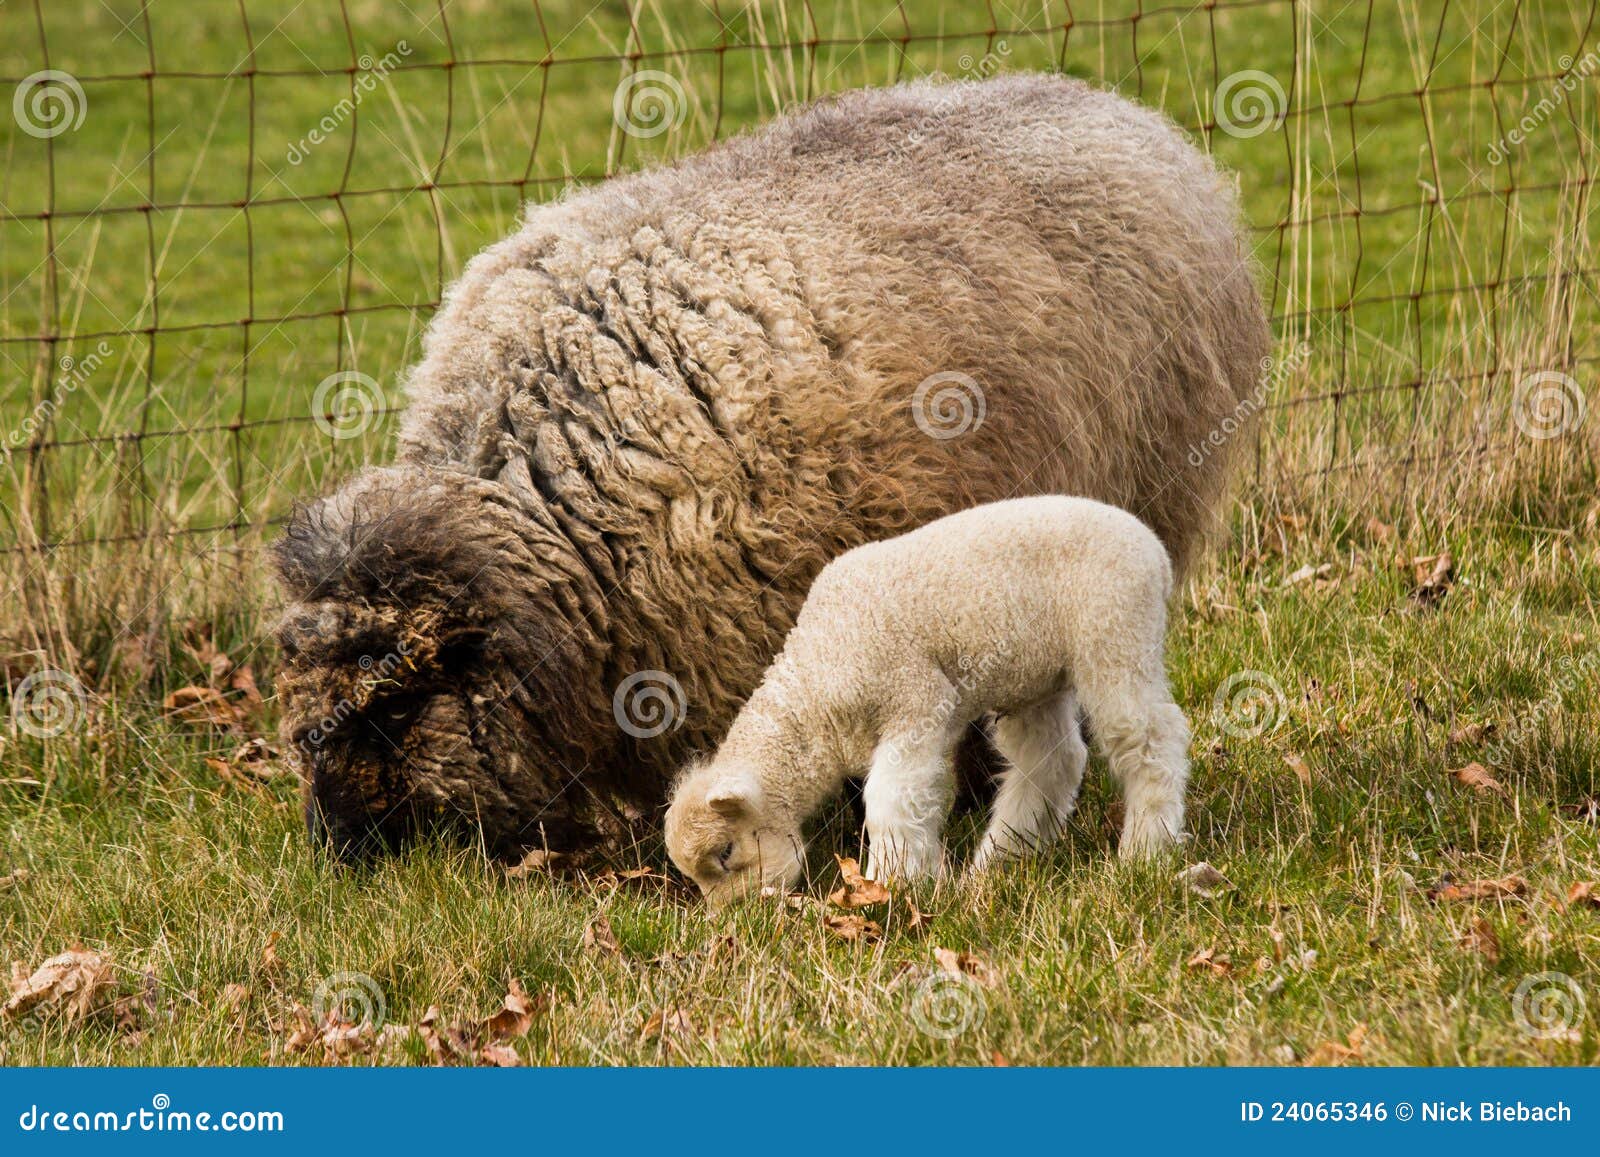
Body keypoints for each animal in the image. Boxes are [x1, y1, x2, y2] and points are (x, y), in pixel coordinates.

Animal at [665, 495, 1190, 904]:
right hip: (1035, 678)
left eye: (725, 853)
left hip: (1116, 633)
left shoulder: (915, 701)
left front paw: (891, 883)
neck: (816, 686)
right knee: (1052, 760)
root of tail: (1153, 549)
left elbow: (890, 800)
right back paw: (1000, 858)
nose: (735, 915)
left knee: (1149, 740)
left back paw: (1145, 850)